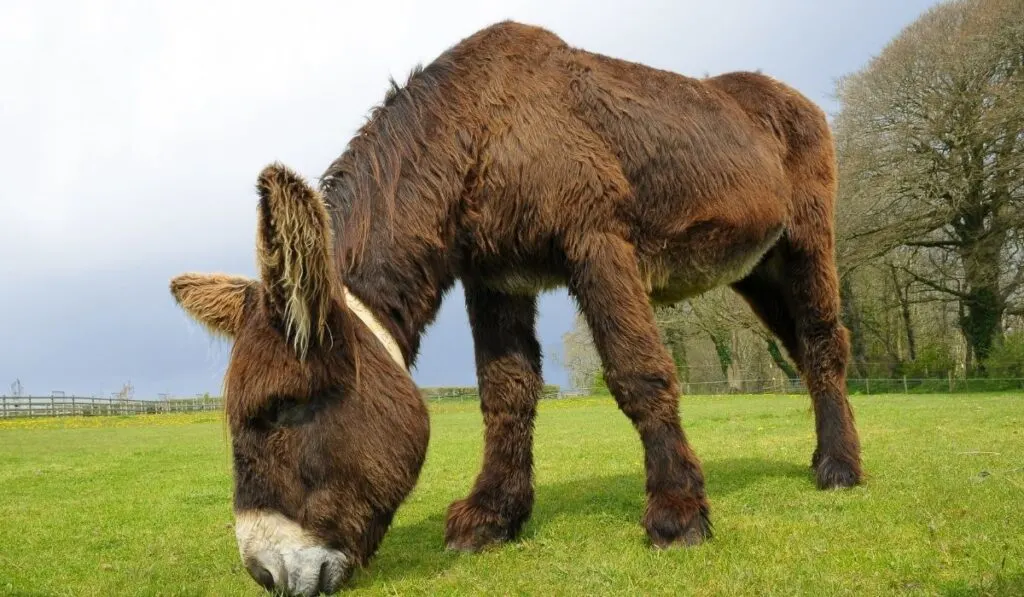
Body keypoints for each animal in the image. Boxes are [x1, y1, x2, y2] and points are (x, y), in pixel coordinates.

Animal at [169, 20, 862, 596]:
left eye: (282, 410)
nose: (264, 573)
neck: (473, 131)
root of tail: (785, 94)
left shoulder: (598, 242)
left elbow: (638, 373)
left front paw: (677, 514)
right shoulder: (496, 279)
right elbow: (506, 393)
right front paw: (493, 516)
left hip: (805, 240)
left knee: (824, 341)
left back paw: (839, 469)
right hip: (757, 268)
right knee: (803, 350)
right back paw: (828, 452)